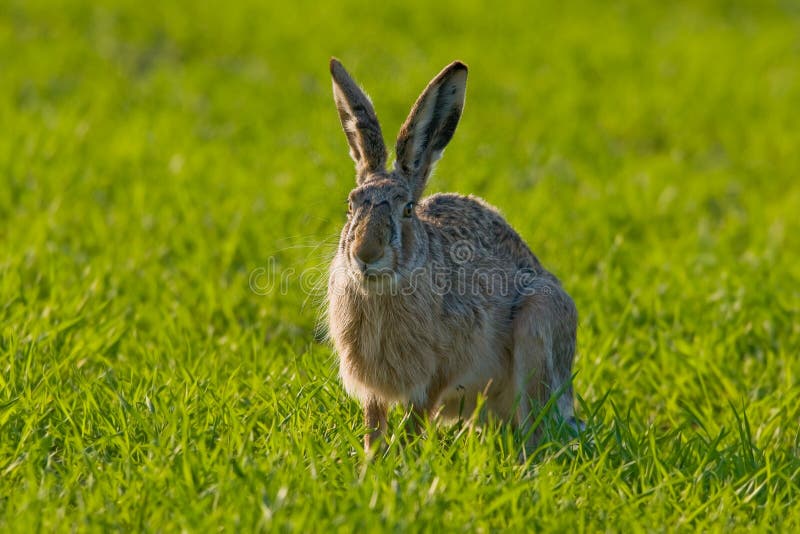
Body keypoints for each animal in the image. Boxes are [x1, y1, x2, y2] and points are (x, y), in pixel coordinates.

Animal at [326, 58, 580, 453]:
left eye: (408, 210)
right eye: (350, 205)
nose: (366, 253)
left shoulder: (435, 374)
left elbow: (416, 418)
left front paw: (406, 459)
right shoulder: (371, 389)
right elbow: (374, 424)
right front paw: (370, 461)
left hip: (539, 326)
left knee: (533, 424)